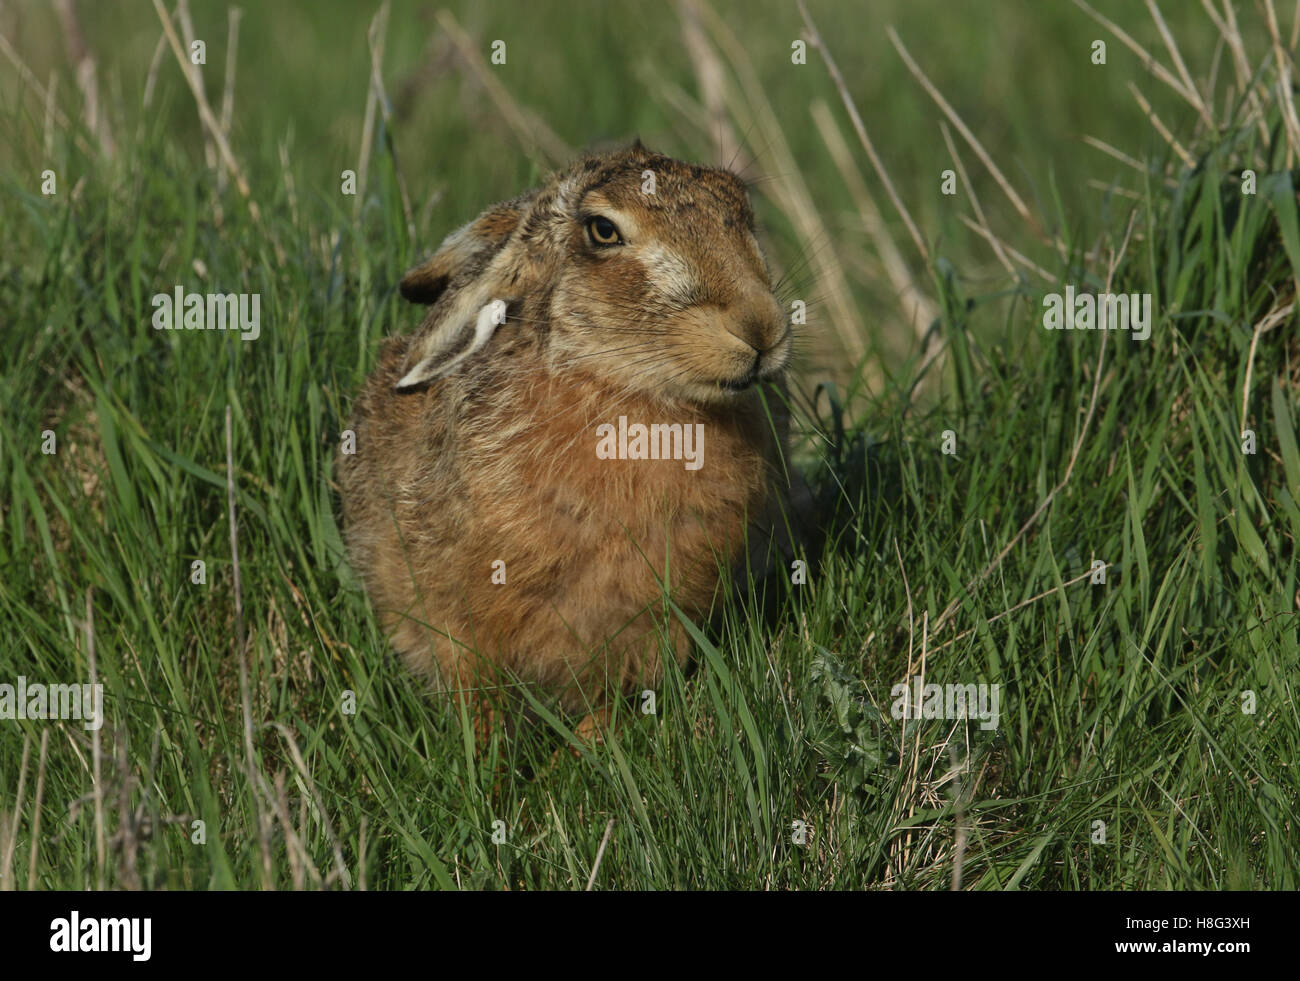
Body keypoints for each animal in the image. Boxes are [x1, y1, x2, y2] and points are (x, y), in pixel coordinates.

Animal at [338, 142, 813, 743]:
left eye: (741, 212)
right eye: (603, 231)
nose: (760, 327)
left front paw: (587, 748)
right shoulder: (451, 618)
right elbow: (473, 690)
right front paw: (489, 752)